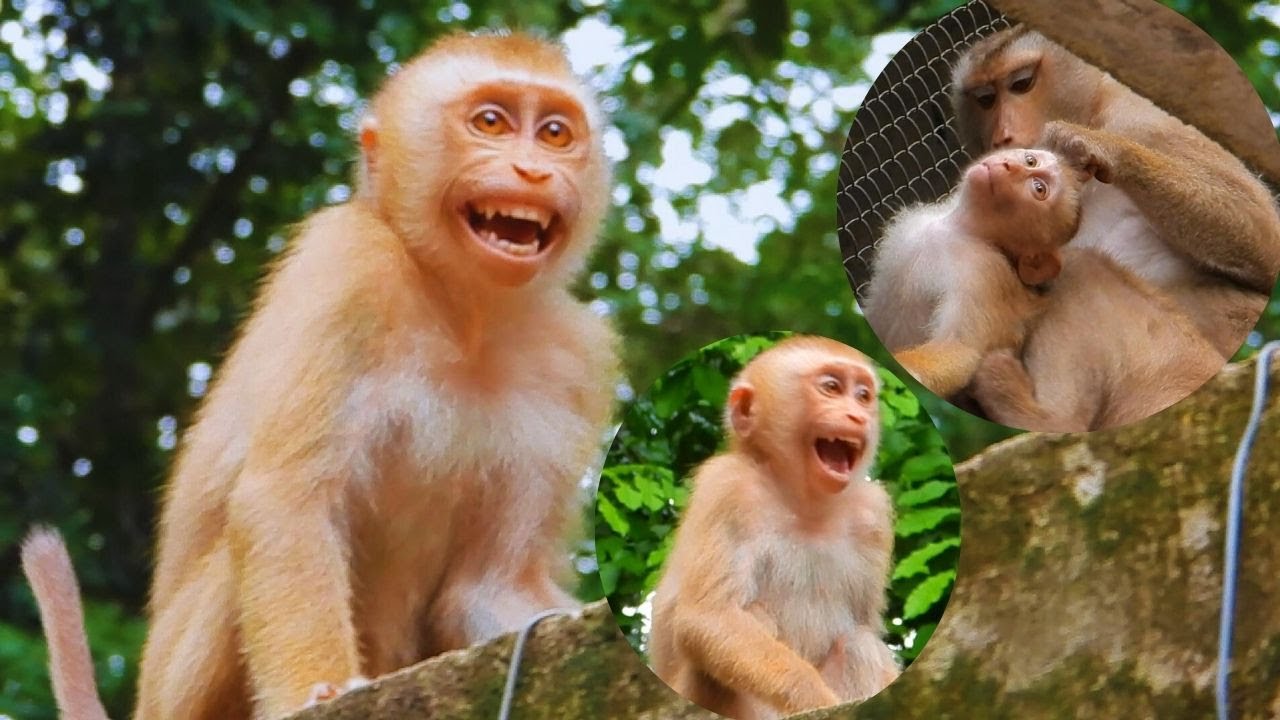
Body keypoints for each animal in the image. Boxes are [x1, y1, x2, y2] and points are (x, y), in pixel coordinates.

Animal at [21, 31, 617, 720]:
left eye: (554, 133)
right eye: (490, 122)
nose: (534, 170)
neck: (463, 311)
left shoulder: (578, 360)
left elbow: (487, 585)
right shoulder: (346, 266)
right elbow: (283, 500)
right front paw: (320, 689)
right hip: (176, 686)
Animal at [648, 336, 899, 720]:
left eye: (862, 396)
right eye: (831, 388)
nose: (857, 416)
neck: (802, 503)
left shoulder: (872, 516)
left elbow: (865, 627)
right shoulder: (728, 489)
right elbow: (708, 618)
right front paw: (817, 701)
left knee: (858, 643)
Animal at [862, 147, 1087, 398]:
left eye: (1039, 189)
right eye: (1030, 161)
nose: (1009, 165)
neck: (961, 229)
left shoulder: (981, 275)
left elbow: (959, 350)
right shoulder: (910, 228)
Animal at [951, 26, 1280, 363]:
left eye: (1021, 83)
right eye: (986, 99)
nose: (1003, 136)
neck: (1091, 111)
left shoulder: (1143, 119)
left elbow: (1263, 237)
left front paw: (1095, 144)